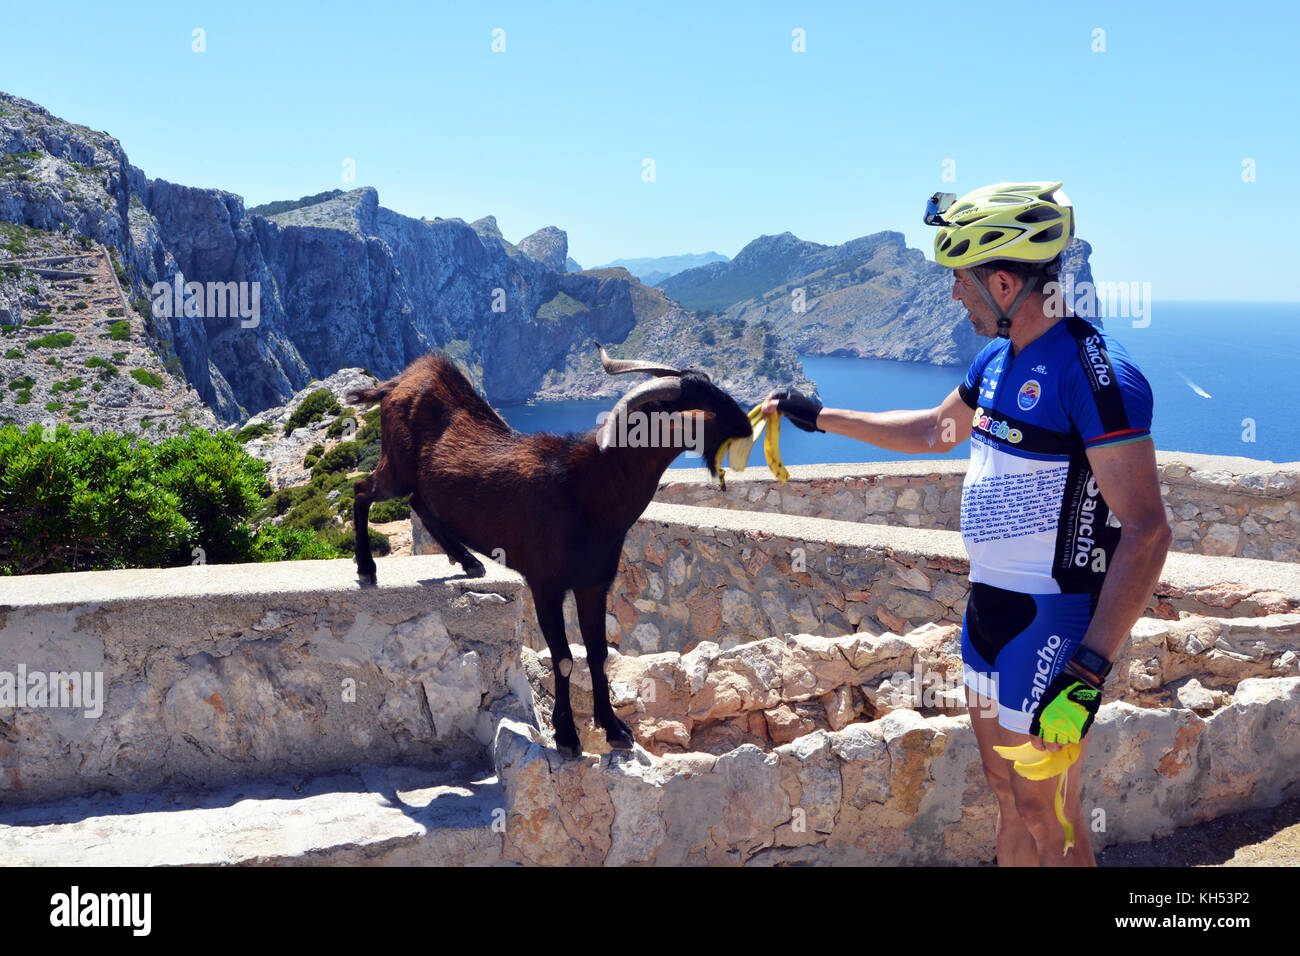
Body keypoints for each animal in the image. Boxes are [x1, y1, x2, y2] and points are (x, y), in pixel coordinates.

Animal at [346, 344, 753, 758]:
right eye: (694, 403)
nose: (746, 426)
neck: (585, 489)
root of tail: (401, 381)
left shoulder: (594, 584)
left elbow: (597, 654)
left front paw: (614, 729)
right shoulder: (546, 585)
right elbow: (564, 659)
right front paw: (567, 736)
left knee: (419, 500)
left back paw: (469, 562)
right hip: (395, 468)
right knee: (363, 491)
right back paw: (367, 568)